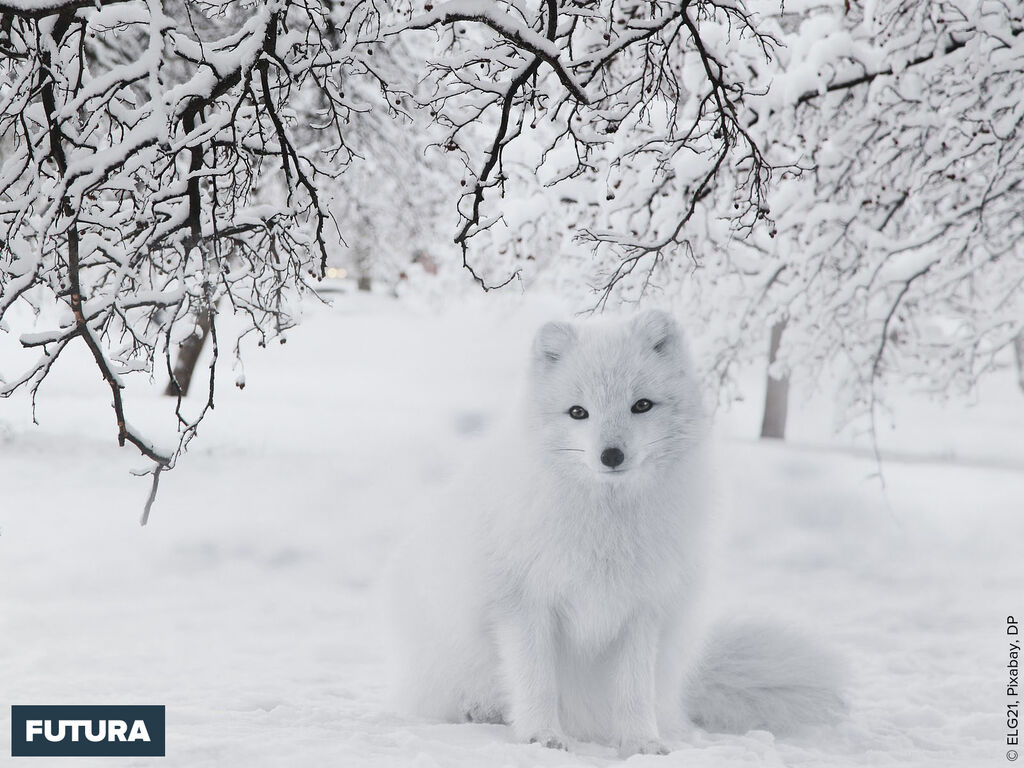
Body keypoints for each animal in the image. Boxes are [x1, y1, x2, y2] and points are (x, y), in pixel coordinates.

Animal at [386, 310, 845, 757]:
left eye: (641, 405)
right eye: (578, 412)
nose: (611, 455)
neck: (607, 525)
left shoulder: (642, 610)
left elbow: (633, 691)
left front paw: (641, 743)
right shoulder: (524, 603)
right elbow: (537, 681)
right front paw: (542, 737)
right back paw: (482, 710)